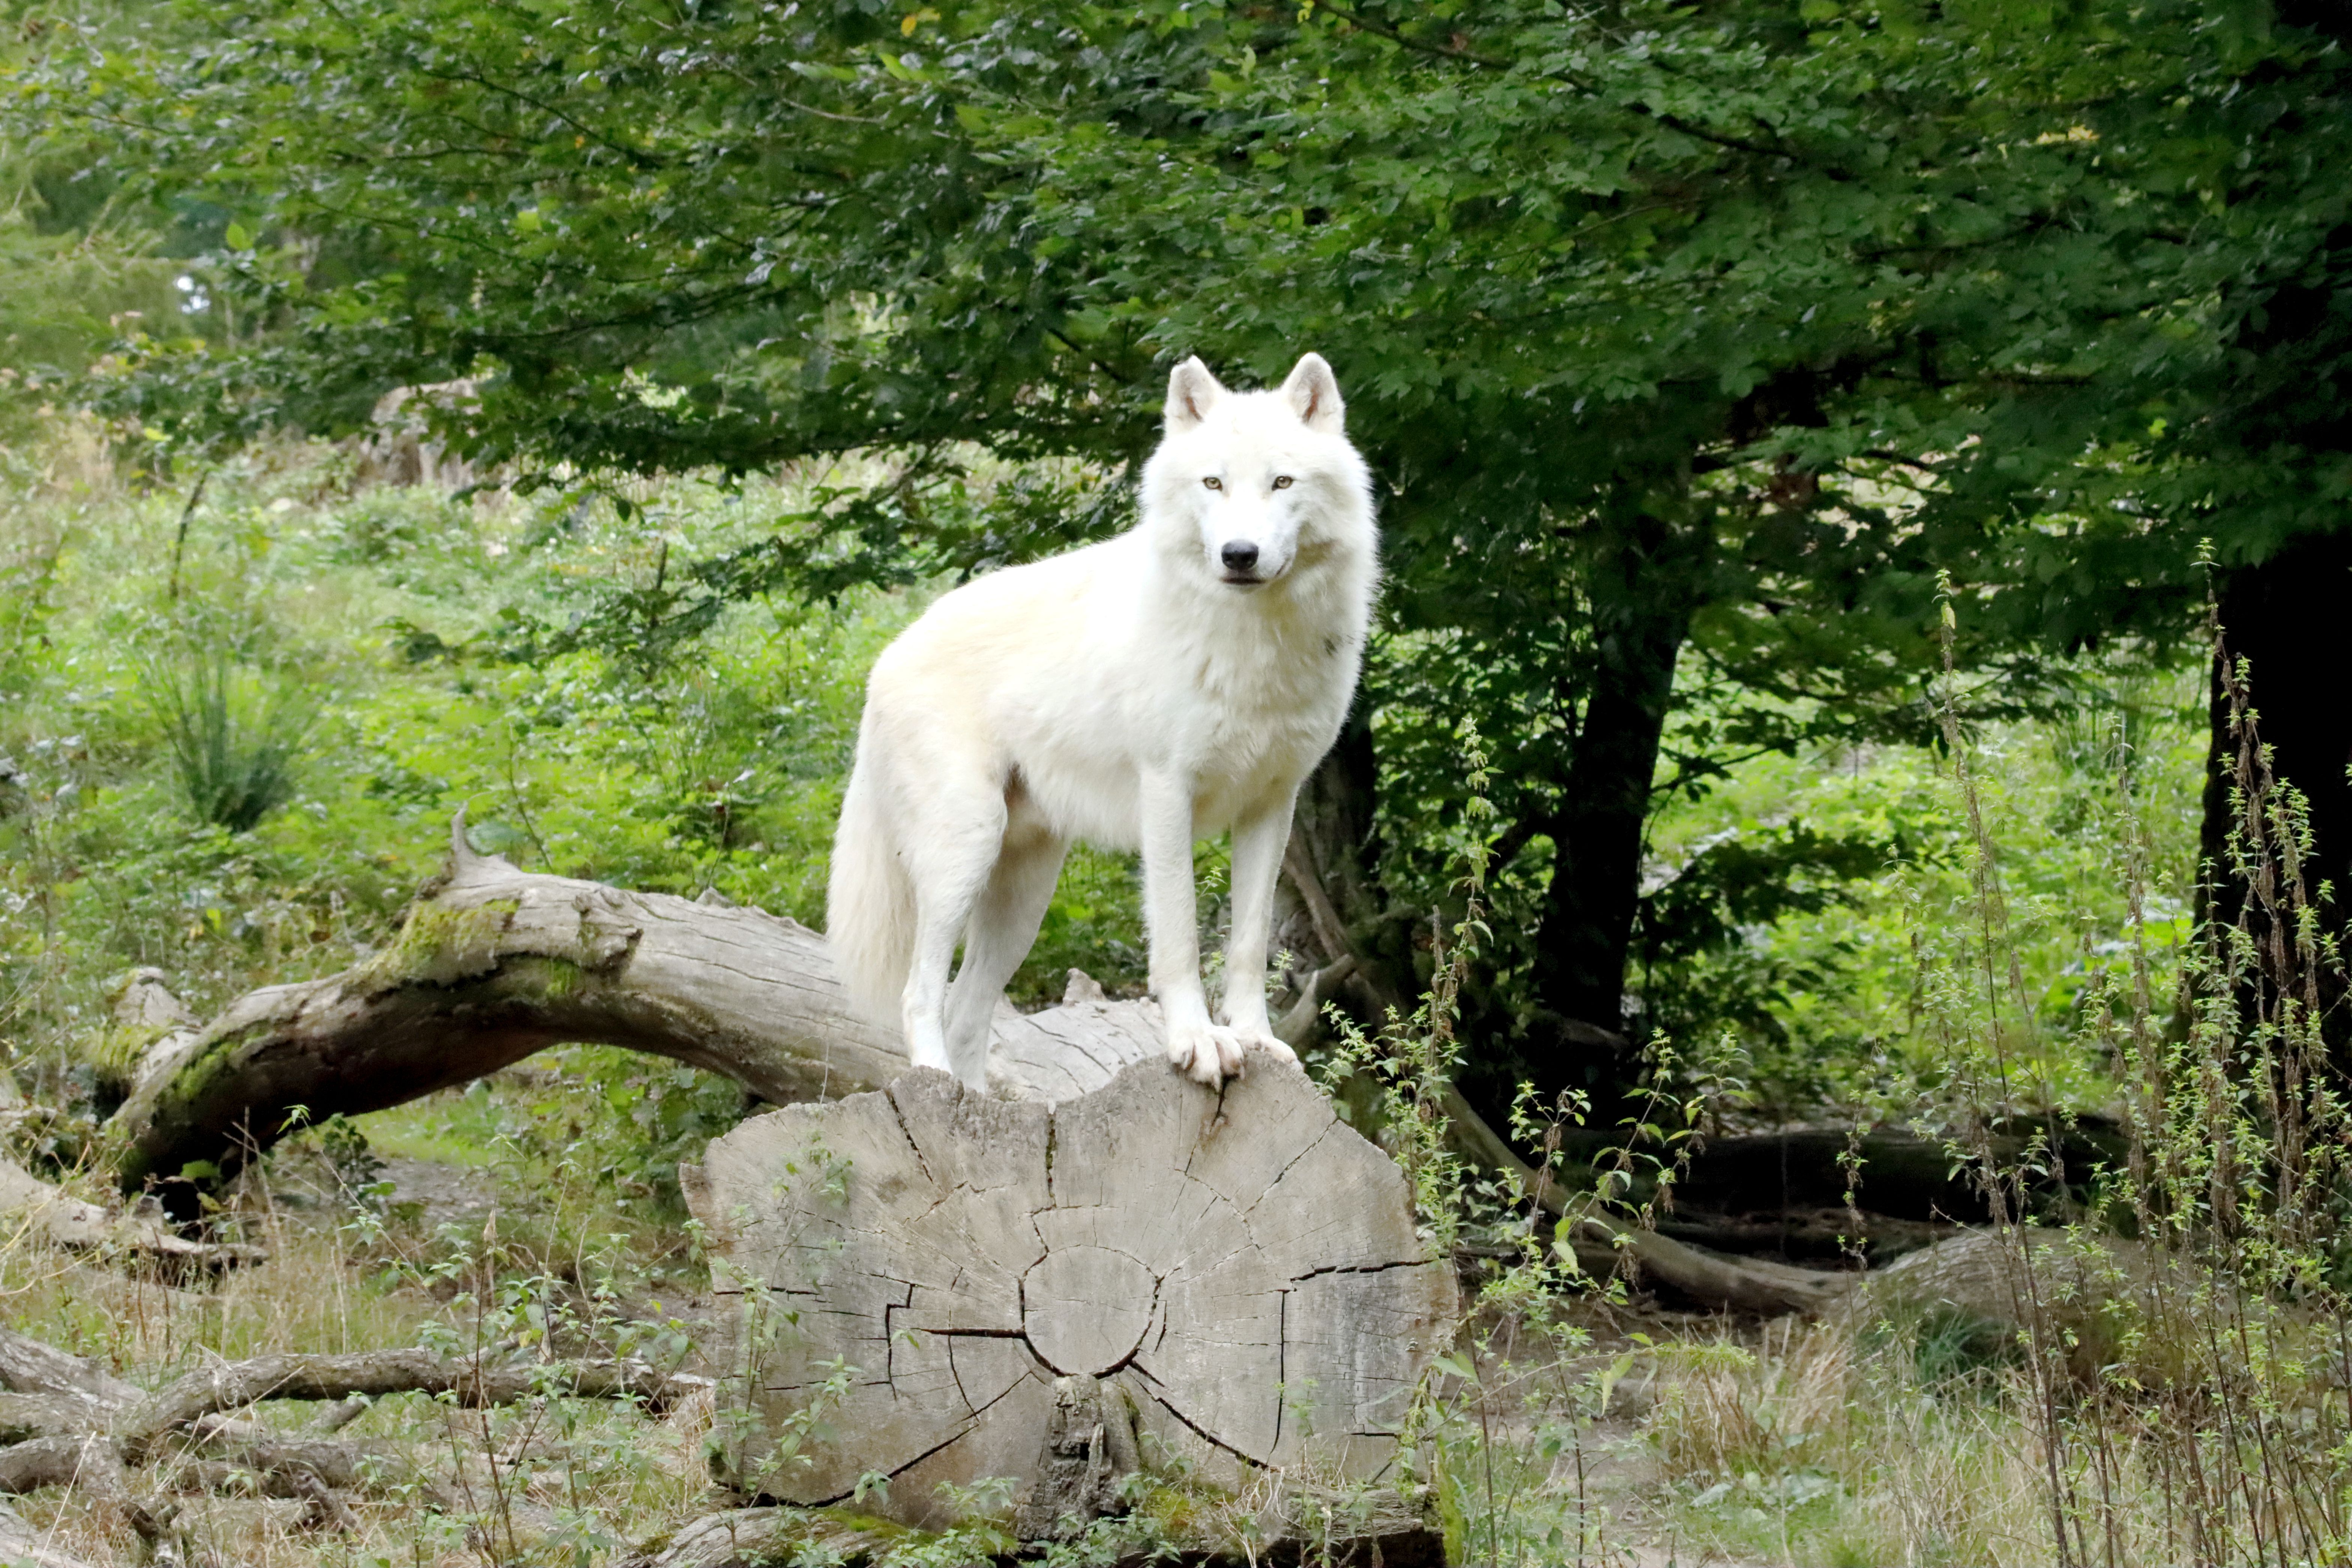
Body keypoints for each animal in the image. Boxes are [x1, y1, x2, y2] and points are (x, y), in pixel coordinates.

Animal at [826, 352, 1379, 1090]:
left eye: (1281, 482)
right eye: (1213, 483)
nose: (1238, 554)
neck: (1252, 645)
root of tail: (886, 656)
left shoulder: (1273, 807)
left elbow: (1248, 943)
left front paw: (1257, 1042)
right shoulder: (1167, 793)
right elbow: (1178, 935)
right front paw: (1196, 1041)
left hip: (1024, 895)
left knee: (969, 1016)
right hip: (965, 851)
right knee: (921, 995)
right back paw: (937, 1085)